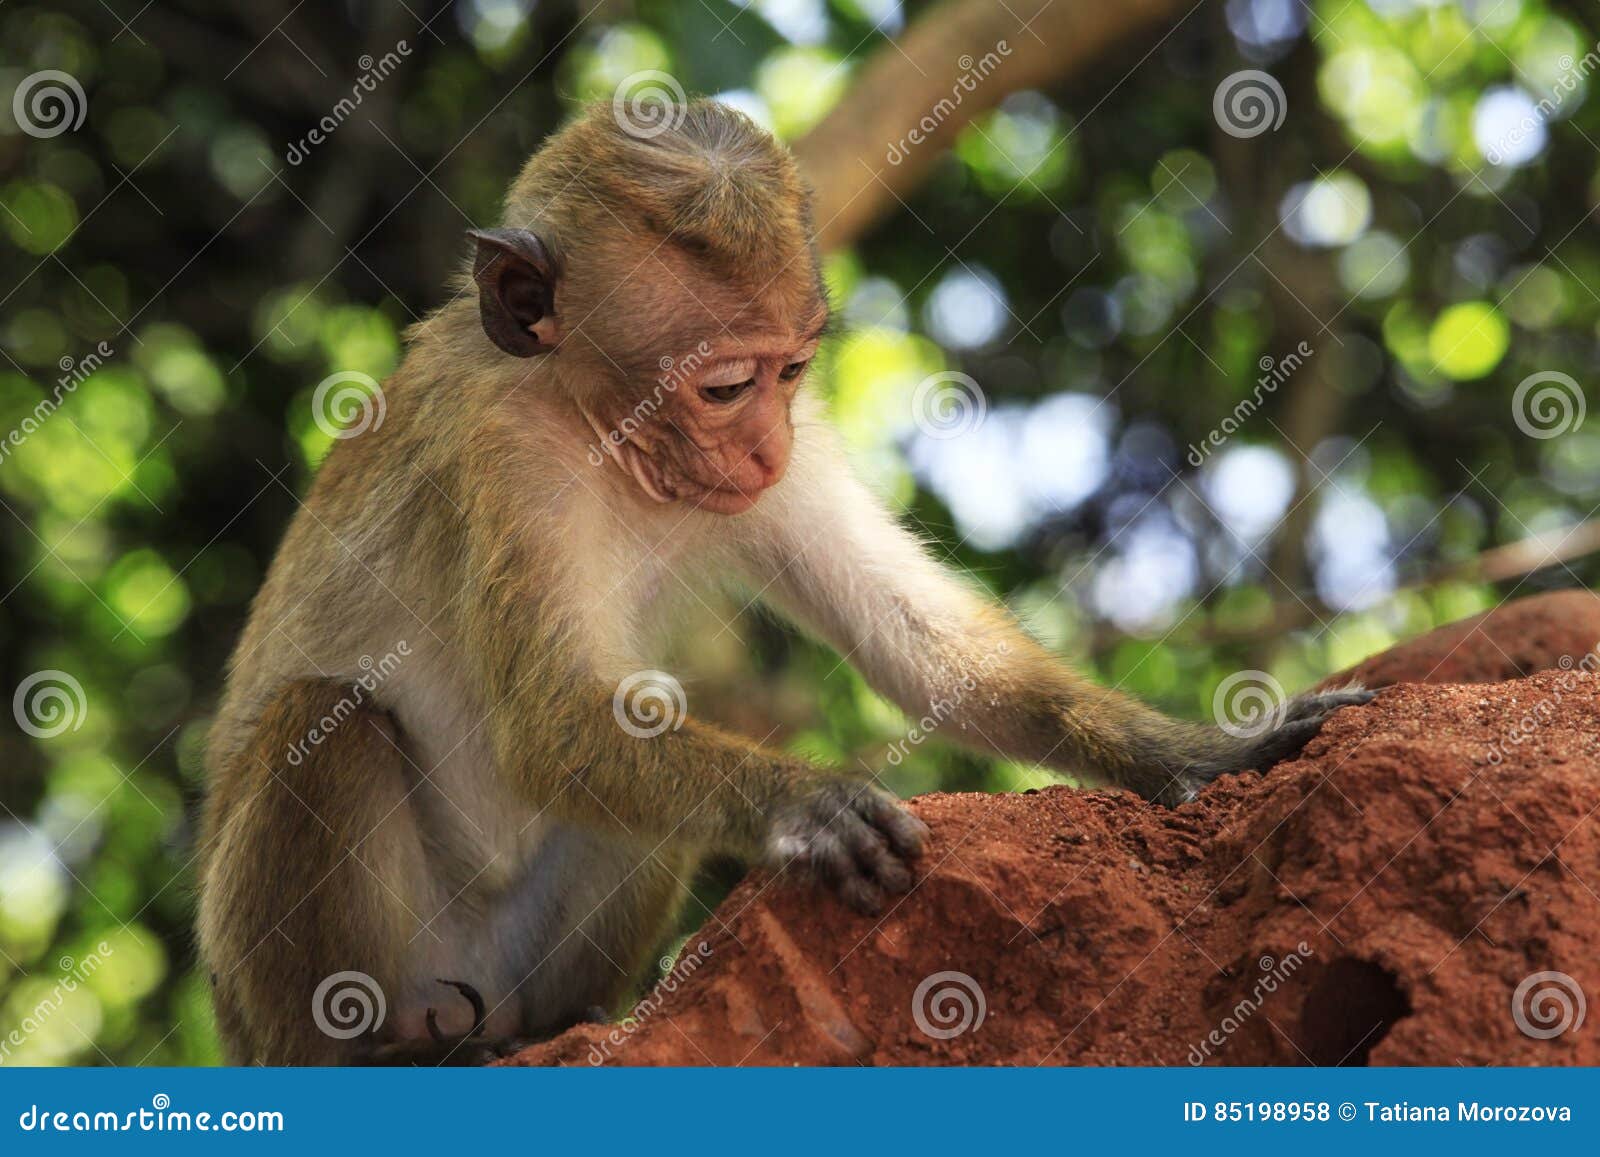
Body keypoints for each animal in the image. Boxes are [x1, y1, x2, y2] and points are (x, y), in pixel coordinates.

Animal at [196, 99, 1371, 1066]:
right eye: (723, 386)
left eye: (792, 370)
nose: (763, 447)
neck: (597, 430)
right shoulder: (502, 453)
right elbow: (548, 719)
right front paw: (805, 806)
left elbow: (915, 644)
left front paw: (1202, 757)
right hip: (279, 988)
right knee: (331, 723)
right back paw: (373, 1050)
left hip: (517, 962)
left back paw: (550, 1028)